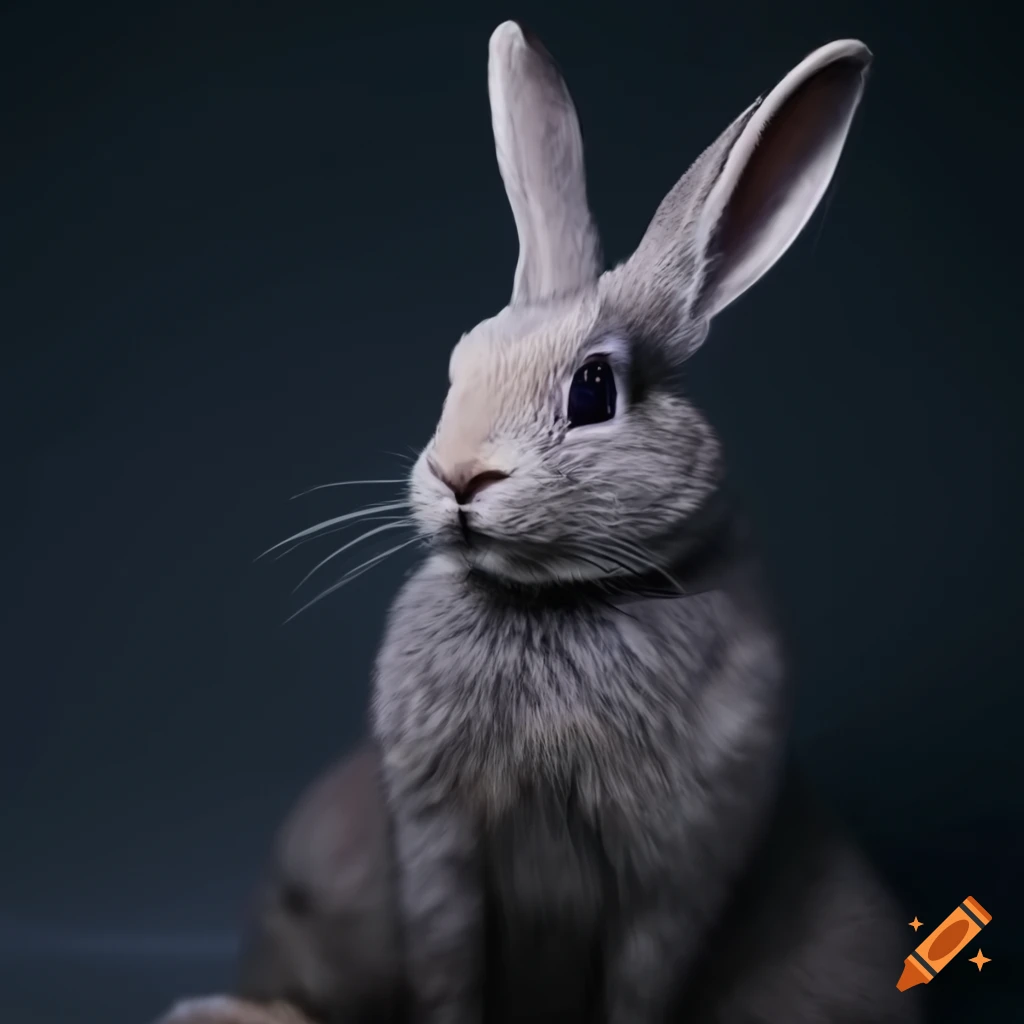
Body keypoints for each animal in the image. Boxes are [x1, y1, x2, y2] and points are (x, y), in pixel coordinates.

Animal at [369, 19, 920, 1024]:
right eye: (460, 363)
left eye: (594, 389)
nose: (460, 475)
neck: (551, 599)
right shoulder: (437, 856)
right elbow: (448, 971)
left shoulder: (672, 874)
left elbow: (640, 980)